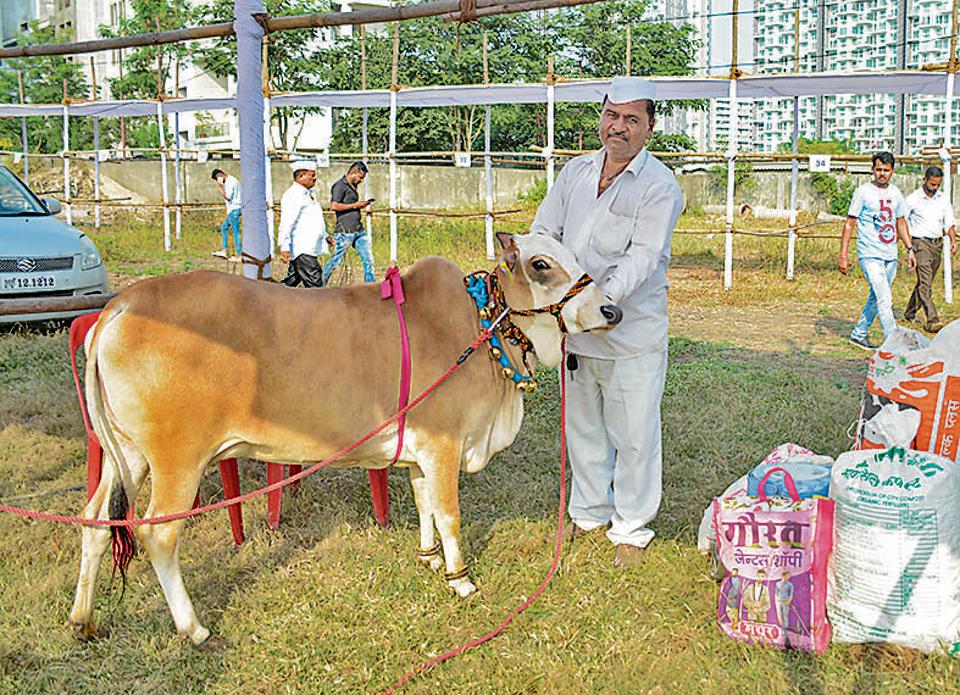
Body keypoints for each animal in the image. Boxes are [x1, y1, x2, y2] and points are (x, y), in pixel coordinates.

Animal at [67, 232, 622, 647]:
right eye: (541, 264)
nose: (611, 311)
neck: (479, 329)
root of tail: (119, 306)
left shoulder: (420, 451)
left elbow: (423, 501)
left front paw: (428, 557)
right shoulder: (443, 442)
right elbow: (449, 514)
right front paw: (460, 579)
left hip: (125, 454)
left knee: (95, 523)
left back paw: (83, 620)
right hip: (177, 460)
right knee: (159, 534)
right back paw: (193, 628)